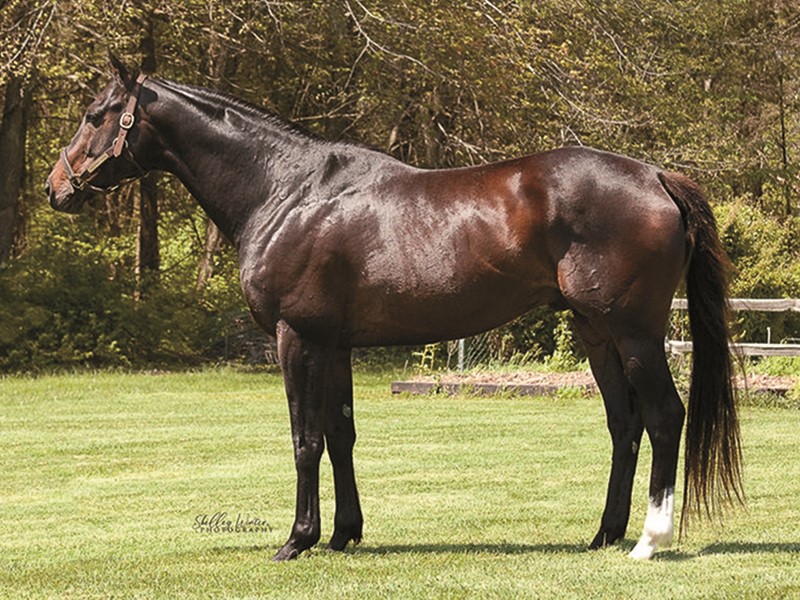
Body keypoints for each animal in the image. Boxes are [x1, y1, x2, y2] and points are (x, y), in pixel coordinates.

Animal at [46, 56, 743, 561]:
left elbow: (304, 439)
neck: (286, 190)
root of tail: (655, 176)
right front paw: (343, 534)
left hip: (635, 334)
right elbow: (341, 434)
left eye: (96, 114)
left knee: (664, 417)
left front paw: (297, 540)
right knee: (625, 425)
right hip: (596, 333)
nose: (56, 188)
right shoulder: (334, 344)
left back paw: (649, 542)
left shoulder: (296, 339)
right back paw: (602, 535)